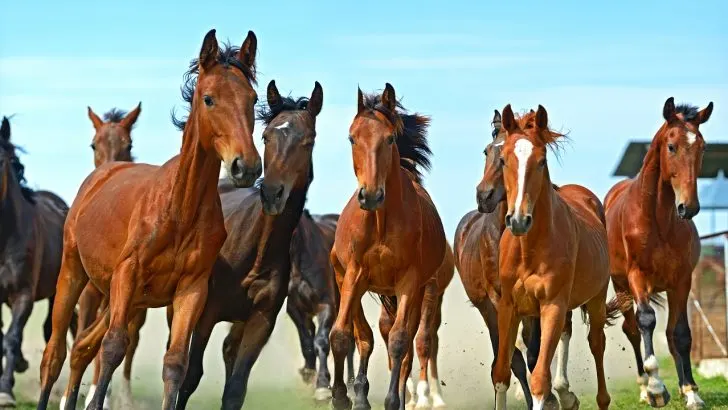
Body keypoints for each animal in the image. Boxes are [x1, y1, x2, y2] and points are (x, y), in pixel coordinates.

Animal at [173, 80, 323, 409]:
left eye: (308, 141)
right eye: (266, 137)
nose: (272, 193)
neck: (256, 254)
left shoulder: (260, 322)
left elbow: (235, 388)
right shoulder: (206, 311)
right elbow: (189, 376)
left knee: (229, 351)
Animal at [285, 210, 357, 401]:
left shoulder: (326, 305)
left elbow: (321, 342)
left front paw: (323, 386)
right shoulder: (294, 308)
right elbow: (306, 342)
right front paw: (309, 374)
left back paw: (351, 387)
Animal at [329, 83, 449, 410]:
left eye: (390, 138)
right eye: (352, 137)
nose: (370, 195)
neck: (380, 221)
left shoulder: (409, 281)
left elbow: (399, 342)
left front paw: (394, 400)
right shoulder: (354, 273)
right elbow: (341, 334)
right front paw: (342, 396)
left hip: (419, 294)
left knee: (405, 344)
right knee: (365, 336)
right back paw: (359, 393)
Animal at [490, 105, 615, 410]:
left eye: (542, 161)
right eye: (503, 160)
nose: (518, 220)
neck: (529, 250)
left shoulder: (552, 305)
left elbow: (538, 380)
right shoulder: (508, 307)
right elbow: (501, 373)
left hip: (595, 300)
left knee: (596, 343)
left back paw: (598, 398)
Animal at [604, 98, 713, 409]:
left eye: (702, 147)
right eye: (671, 146)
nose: (688, 207)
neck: (658, 220)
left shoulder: (681, 281)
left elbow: (680, 334)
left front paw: (691, 392)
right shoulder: (637, 278)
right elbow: (646, 321)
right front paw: (655, 388)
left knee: (668, 333)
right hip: (621, 285)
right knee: (632, 329)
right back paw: (644, 387)